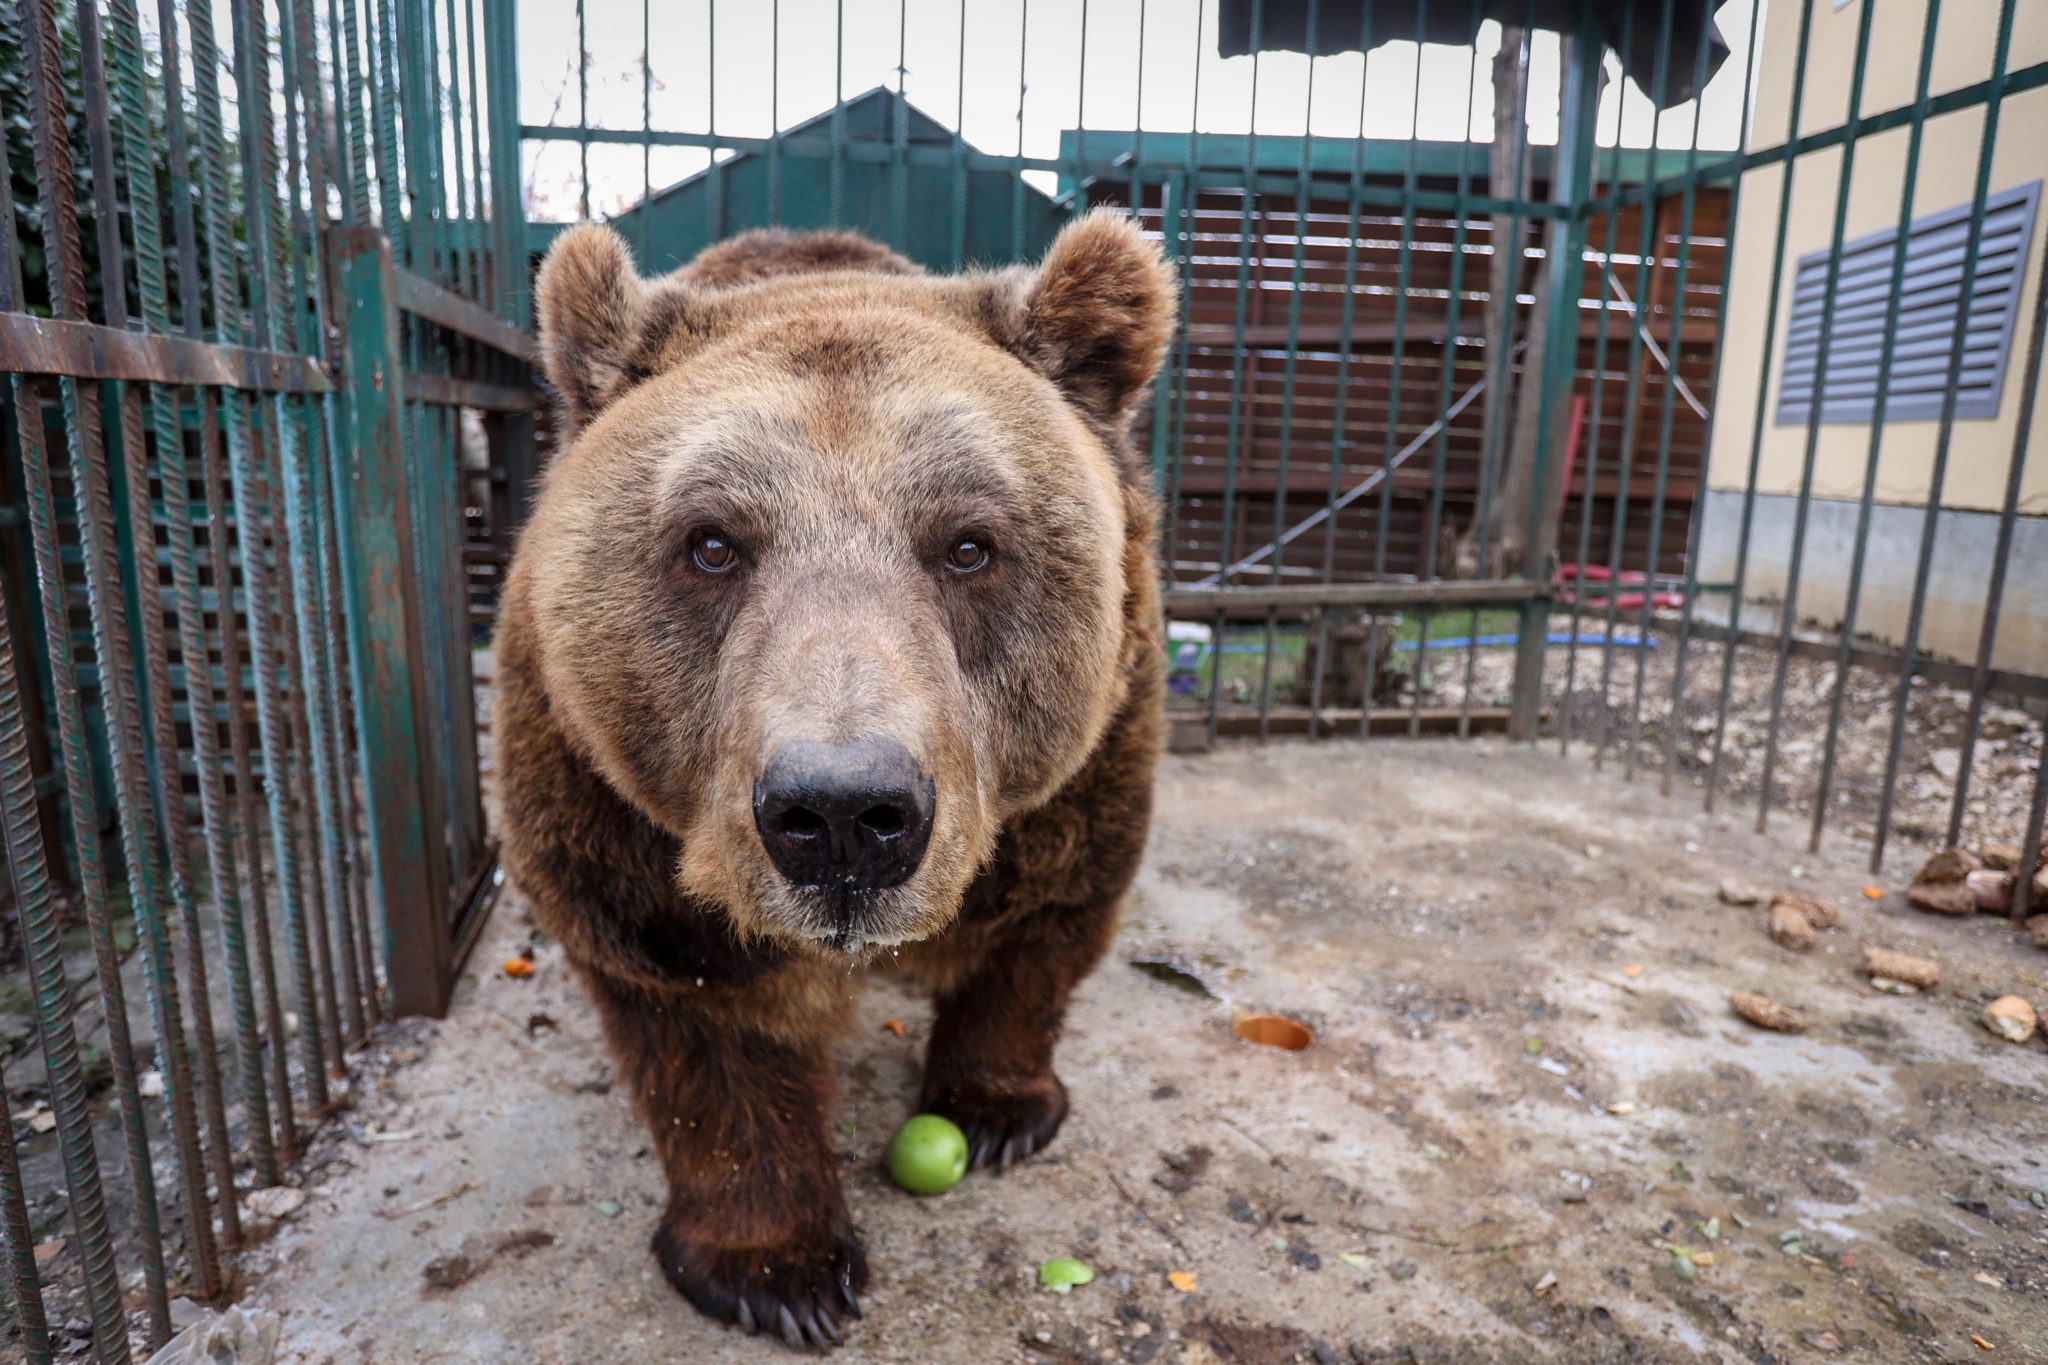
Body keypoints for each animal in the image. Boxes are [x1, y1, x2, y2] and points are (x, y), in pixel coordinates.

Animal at [494, 210, 1175, 1349]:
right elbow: (701, 1016)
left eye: (970, 544)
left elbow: (1048, 916)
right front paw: (778, 1268)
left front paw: (997, 1109)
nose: (847, 813)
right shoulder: (615, 816)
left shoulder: (1086, 760)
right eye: (711, 542)